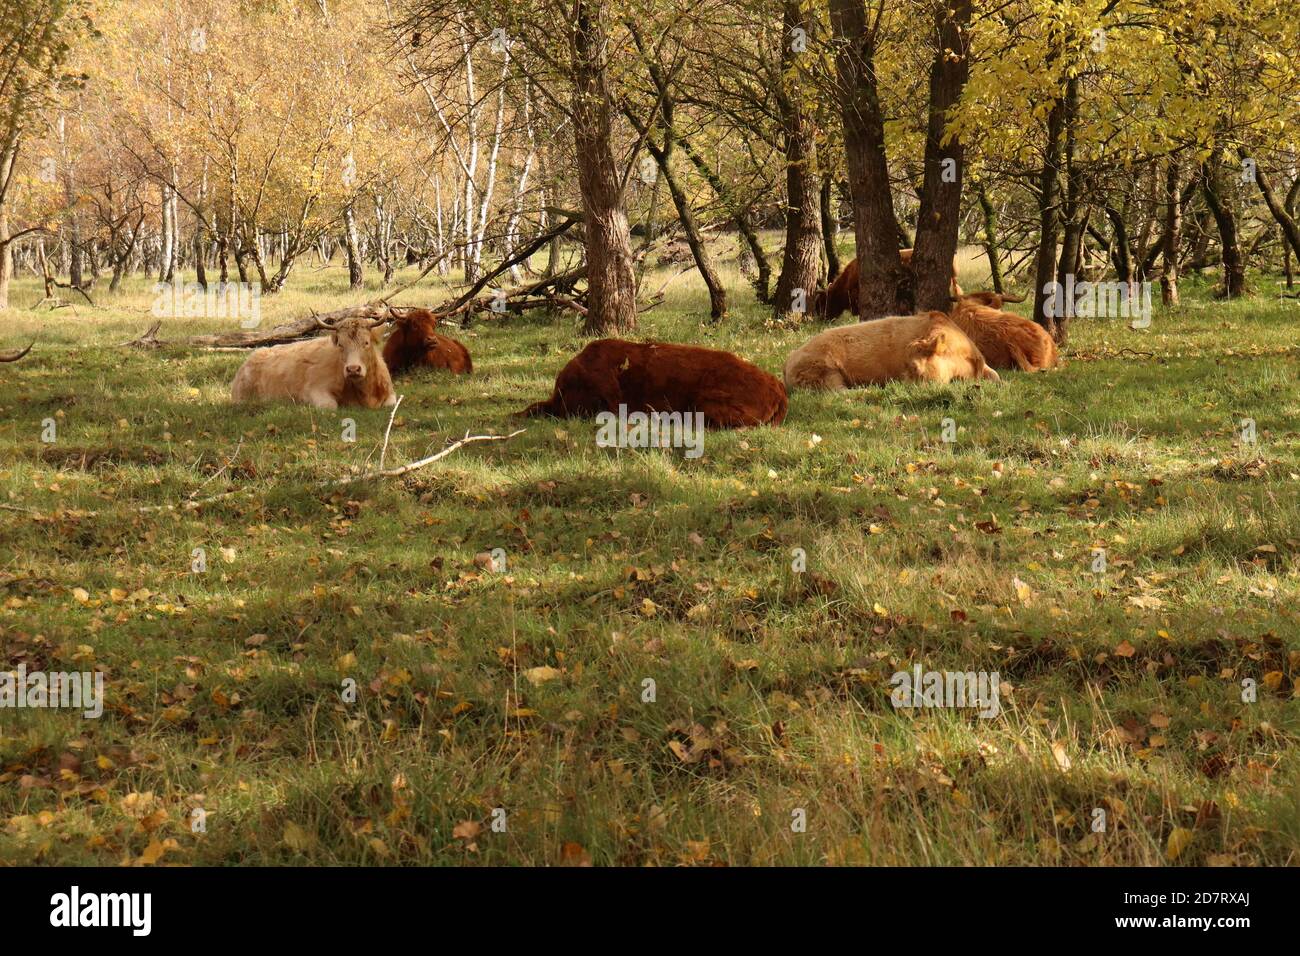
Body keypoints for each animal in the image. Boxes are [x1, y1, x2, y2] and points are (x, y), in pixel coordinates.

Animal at [231, 316, 397, 409]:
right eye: (340, 344)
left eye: (366, 343)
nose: (353, 369)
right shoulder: (314, 390)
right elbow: (330, 406)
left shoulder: (390, 394)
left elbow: (391, 403)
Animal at [783, 312, 1000, 391]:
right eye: (906, 366)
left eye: (915, 367)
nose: (900, 386)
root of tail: (791, 357)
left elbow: (996, 375)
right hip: (824, 372)